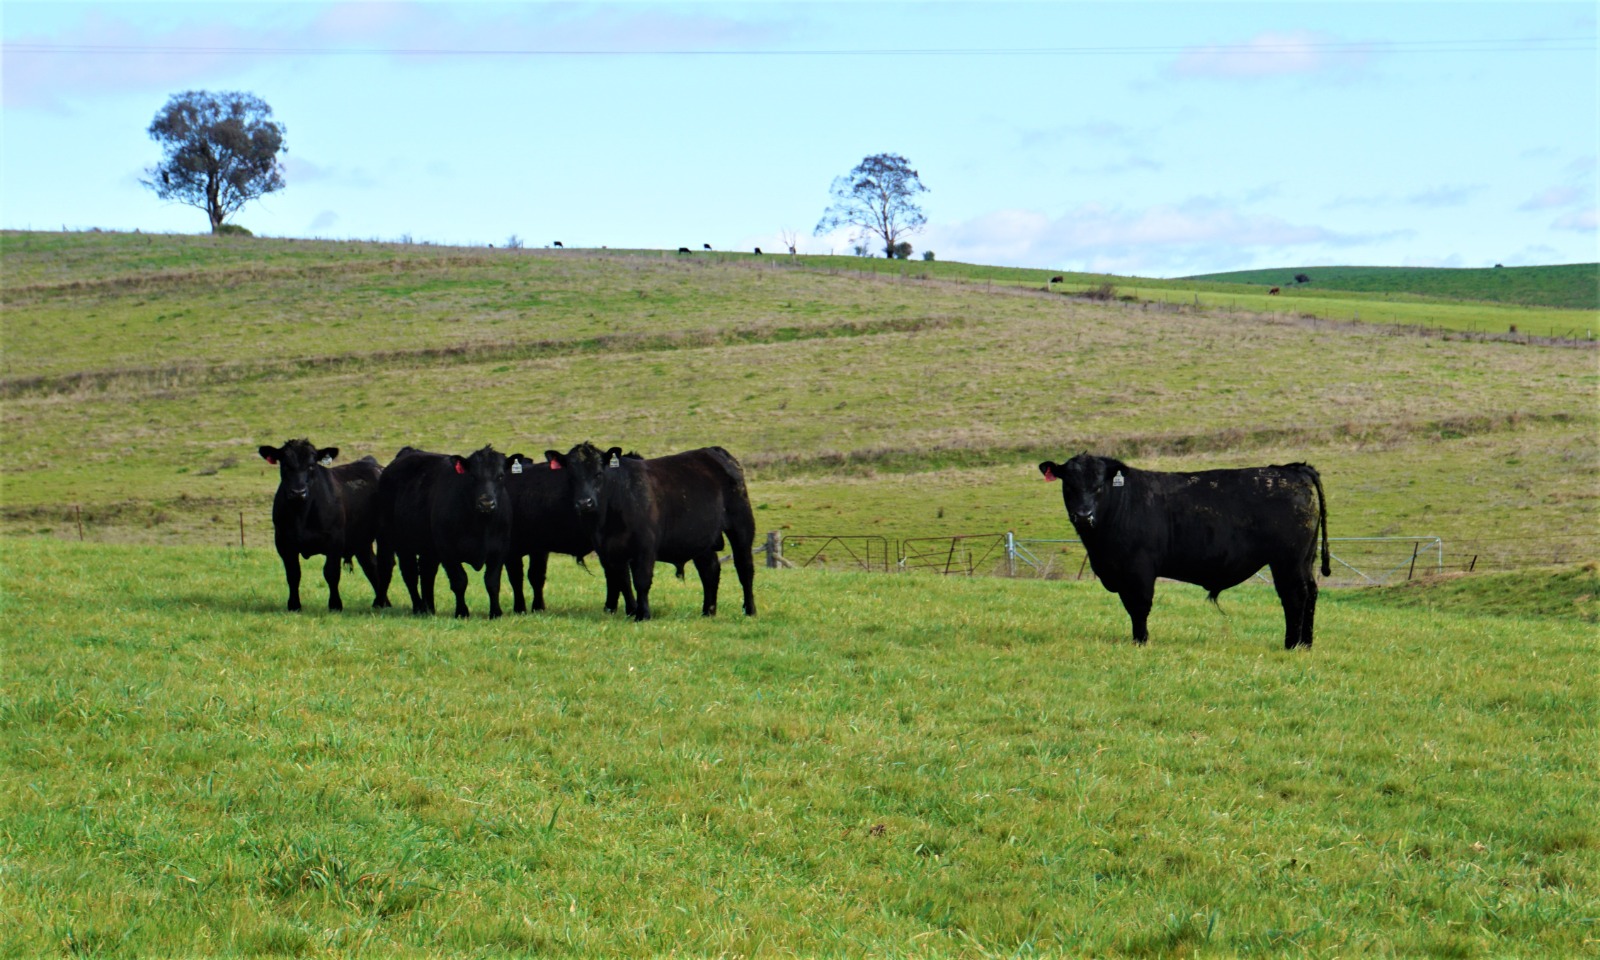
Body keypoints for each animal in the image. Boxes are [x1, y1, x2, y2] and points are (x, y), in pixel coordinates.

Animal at [258, 439, 390, 612]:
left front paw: (335, 605)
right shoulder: (283, 542)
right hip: (361, 540)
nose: (298, 492)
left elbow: (331, 572)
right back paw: (381, 603)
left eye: (311, 465)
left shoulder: (335, 539)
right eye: (285, 464)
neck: (301, 514)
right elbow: (293, 574)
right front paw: (294, 605)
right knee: (371, 565)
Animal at [376, 445, 513, 618]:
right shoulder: (447, 550)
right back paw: (419, 607)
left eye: (501, 476)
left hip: (428, 549)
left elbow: (492, 582)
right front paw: (462, 612)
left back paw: (429, 608)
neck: (481, 526)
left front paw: (496, 612)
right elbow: (459, 581)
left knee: (427, 573)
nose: (486, 503)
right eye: (472, 476)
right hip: (397, 542)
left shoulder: (499, 550)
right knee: (409, 574)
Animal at [503, 450, 637, 614]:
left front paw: (523, 608)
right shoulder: (534, 548)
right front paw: (534, 607)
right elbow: (530, 576)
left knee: (619, 573)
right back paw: (610, 608)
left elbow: (522, 576)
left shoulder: (518, 548)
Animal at [547, 442, 756, 621]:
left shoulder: (645, 545)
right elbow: (620, 580)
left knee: (744, 567)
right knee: (710, 570)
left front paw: (643, 614)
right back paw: (708, 611)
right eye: (571, 476)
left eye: (599, 473)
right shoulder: (606, 549)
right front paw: (624, 611)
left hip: (742, 526)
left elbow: (641, 580)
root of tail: (714, 451)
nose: (585, 503)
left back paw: (750, 610)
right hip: (701, 538)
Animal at [1038, 454, 1329, 649]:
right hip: (1305, 559)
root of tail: (1293, 470)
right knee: (1312, 592)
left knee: (1295, 596)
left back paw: (1291, 644)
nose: (1083, 515)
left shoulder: (1139, 569)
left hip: (1287, 560)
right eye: (1069, 485)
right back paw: (1306, 643)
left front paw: (1141, 641)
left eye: (1099, 486)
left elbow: (1139, 606)